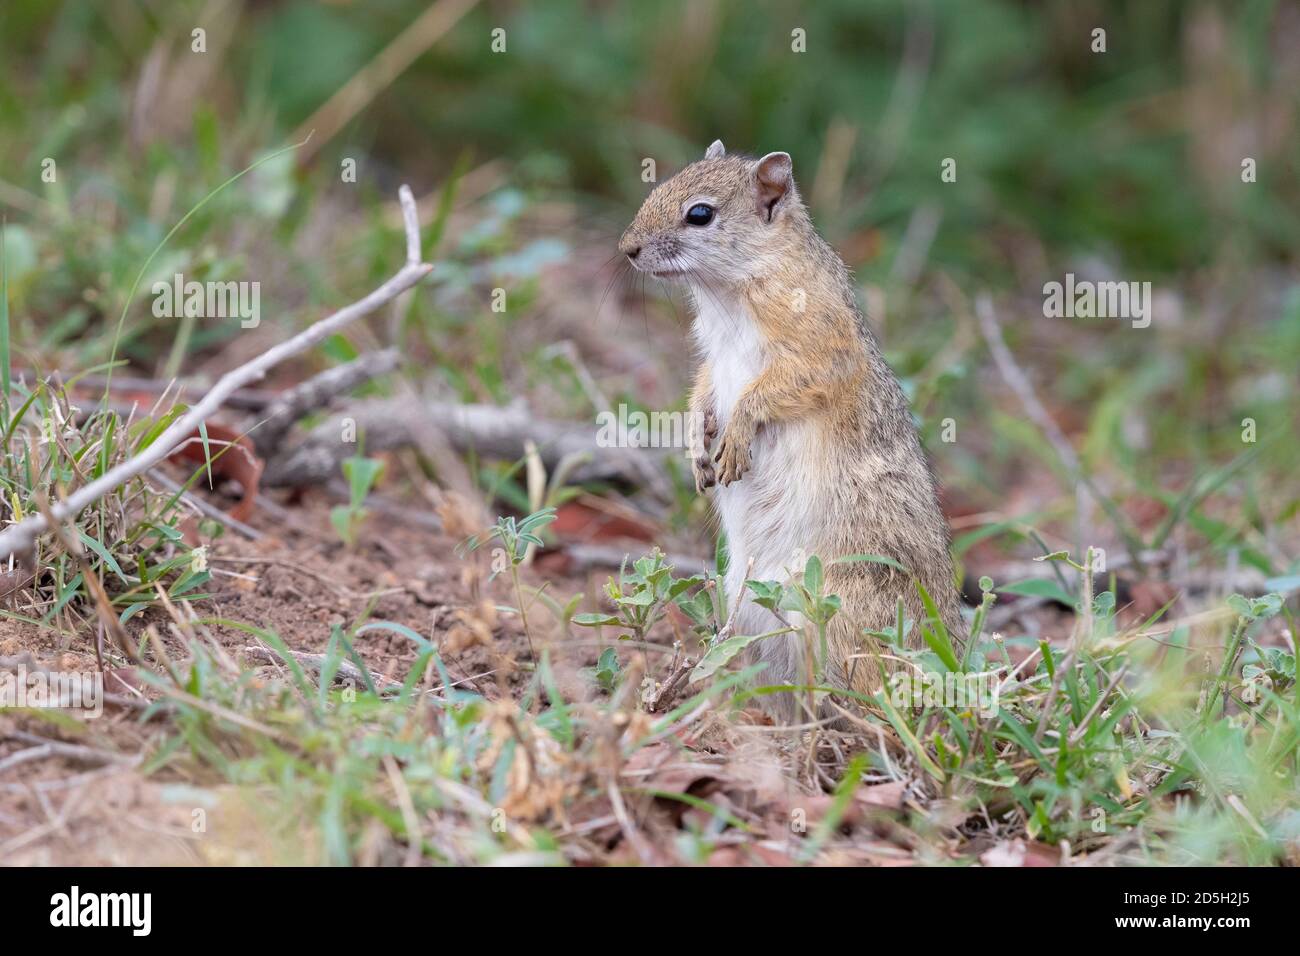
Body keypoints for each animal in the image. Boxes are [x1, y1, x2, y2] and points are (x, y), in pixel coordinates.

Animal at [620, 140, 966, 720]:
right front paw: (695, 444)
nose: (627, 249)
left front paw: (737, 432)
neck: (729, 292)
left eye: (700, 214)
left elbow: (781, 387)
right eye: (657, 186)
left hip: (838, 610)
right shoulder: (713, 359)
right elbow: (702, 390)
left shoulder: (819, 345)